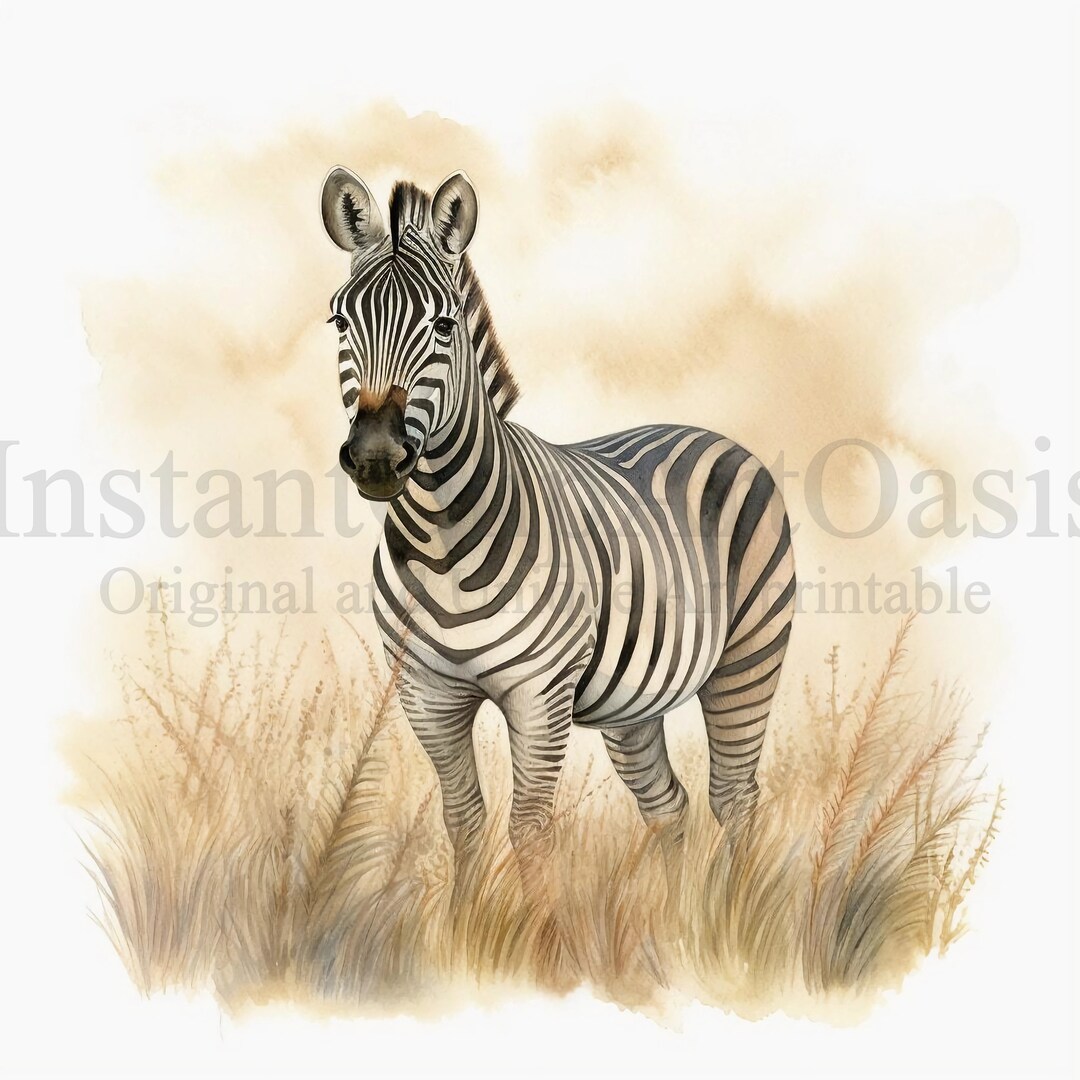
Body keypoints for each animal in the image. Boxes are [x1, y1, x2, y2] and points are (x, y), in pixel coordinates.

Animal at [320, 166, 796, 898]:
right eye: (340, 320)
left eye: (445, 325)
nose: (375, 457)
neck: (440, 543)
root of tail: (705, 432)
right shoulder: (427, 694)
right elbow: (463, 820)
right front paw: (465, 924)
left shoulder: (538, 696)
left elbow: (530, 830)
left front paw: (535, 932)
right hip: (636, 701)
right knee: (670, 806)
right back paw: (674, 918)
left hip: (749, 656)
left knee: (736, 799)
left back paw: (731, 918)